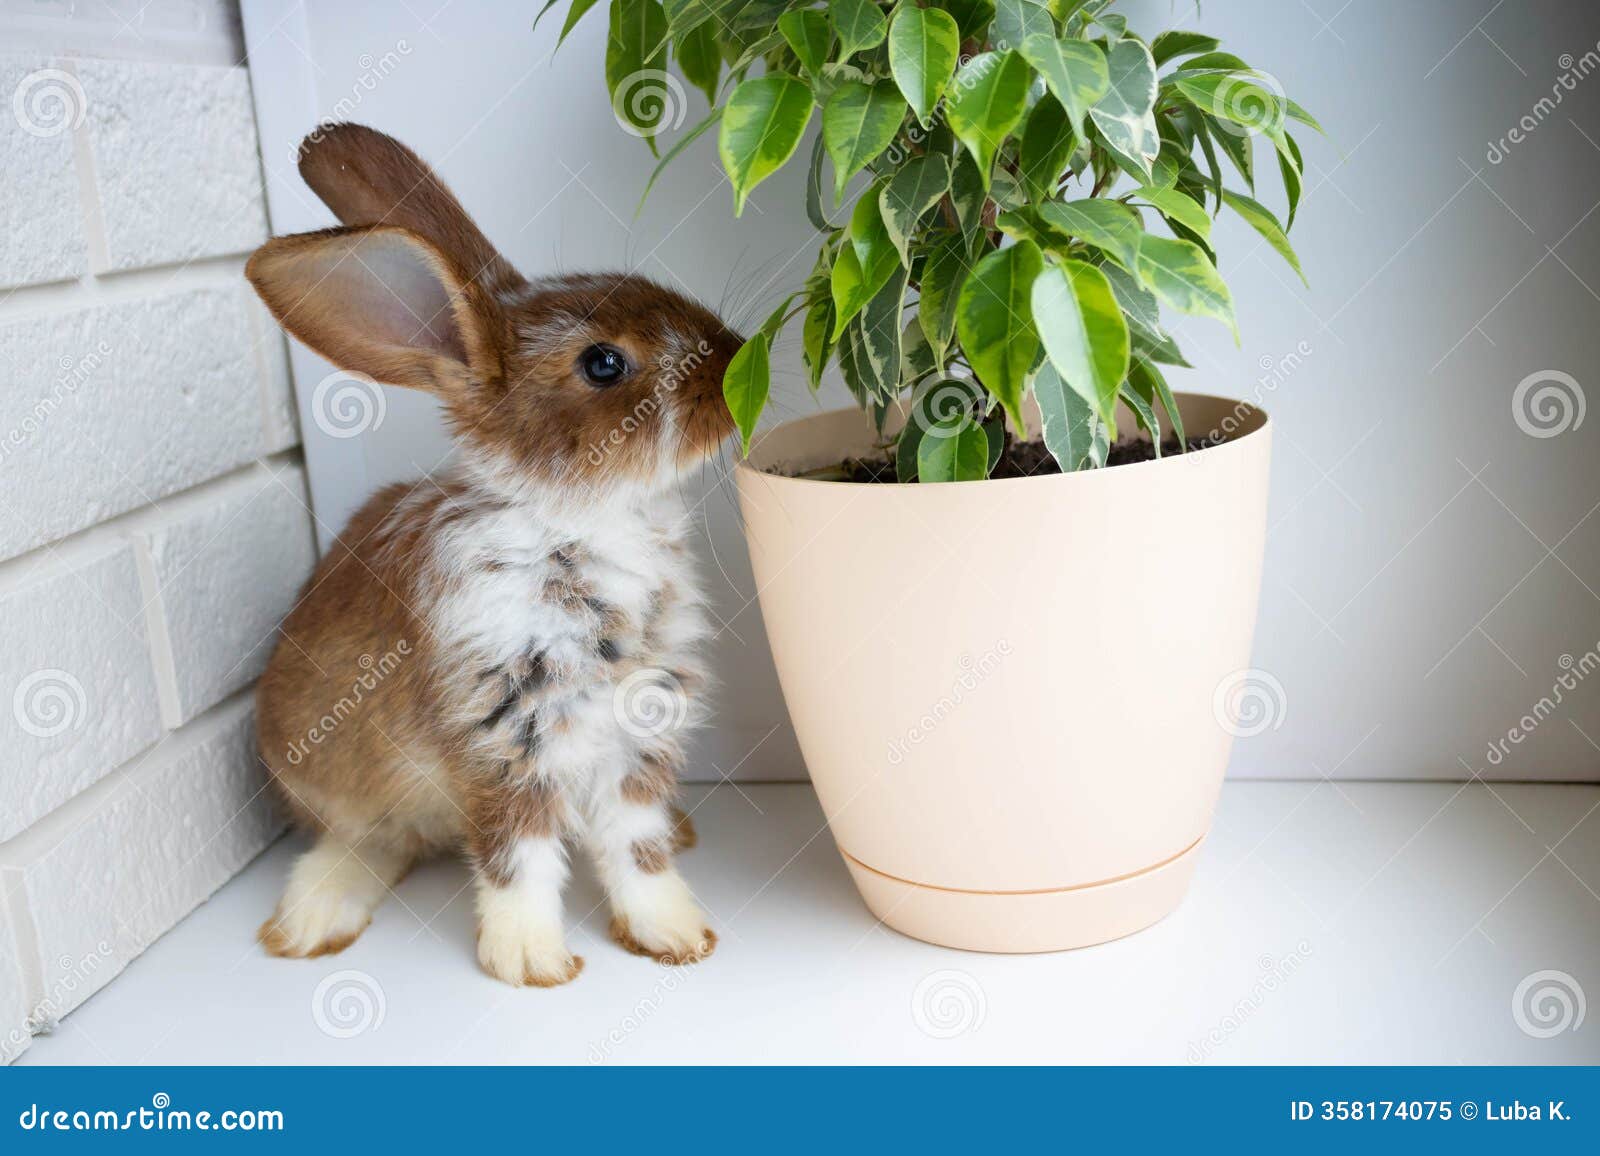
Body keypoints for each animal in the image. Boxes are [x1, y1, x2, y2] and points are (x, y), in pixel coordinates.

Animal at [244, 123, 741, 987]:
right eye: (603, 363)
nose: (740, 360)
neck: (583, 520)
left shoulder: (635, 736)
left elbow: (637, 850)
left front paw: (676, 937)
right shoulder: (504, 738)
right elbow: (519, 858)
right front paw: (533, 964)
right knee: (370, 840)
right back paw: (308, 923)